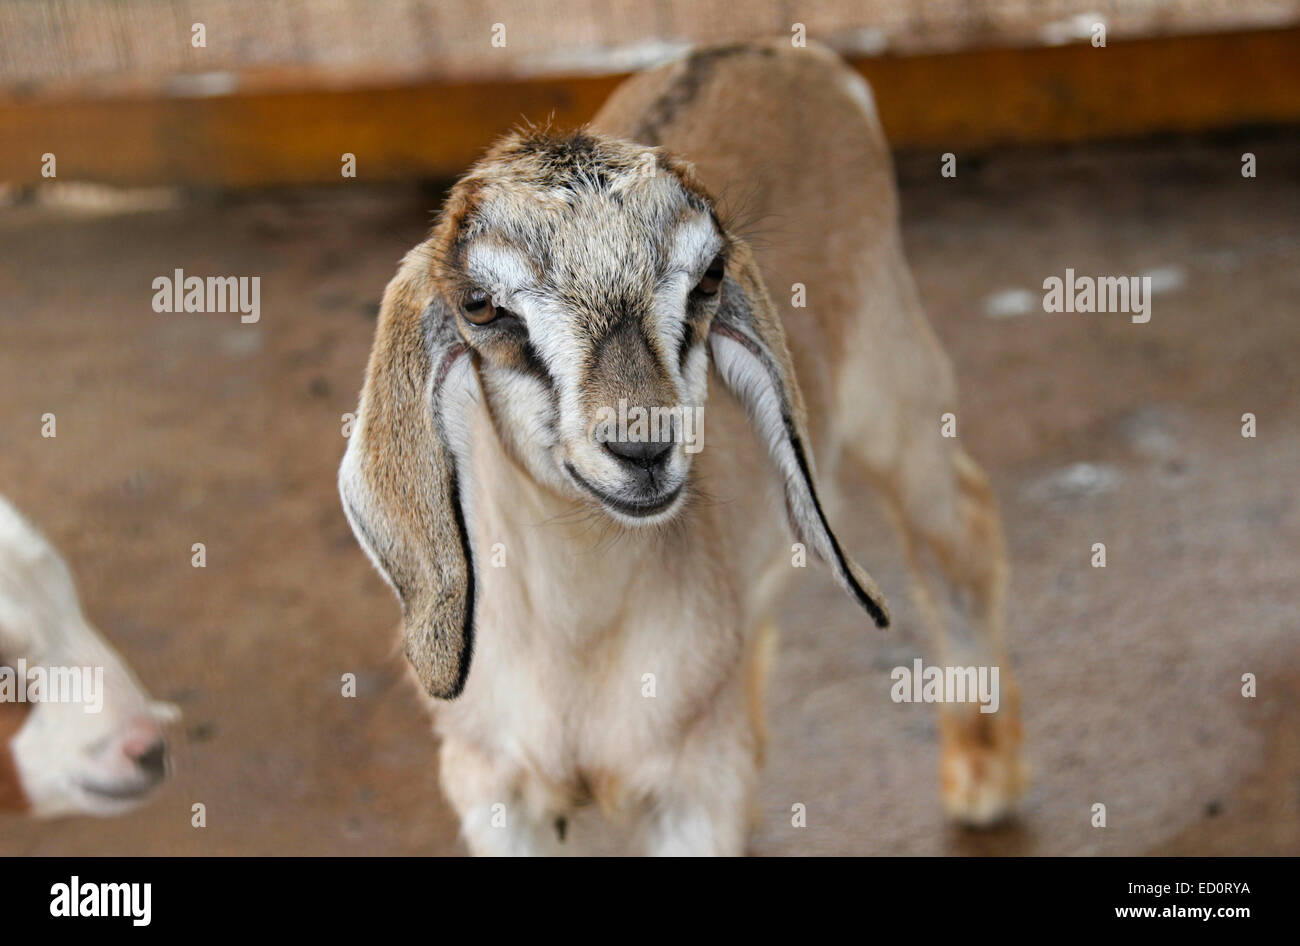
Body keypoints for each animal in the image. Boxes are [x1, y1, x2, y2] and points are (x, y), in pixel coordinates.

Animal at [340, 40, 1024, 855]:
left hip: (896, 389)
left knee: (964, 526)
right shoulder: (494, 791)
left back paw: (983, 776)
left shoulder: (693, 791)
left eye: (710, 277)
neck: (578, 652)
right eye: (480, 305)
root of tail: (784, 53)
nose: (642, 448)